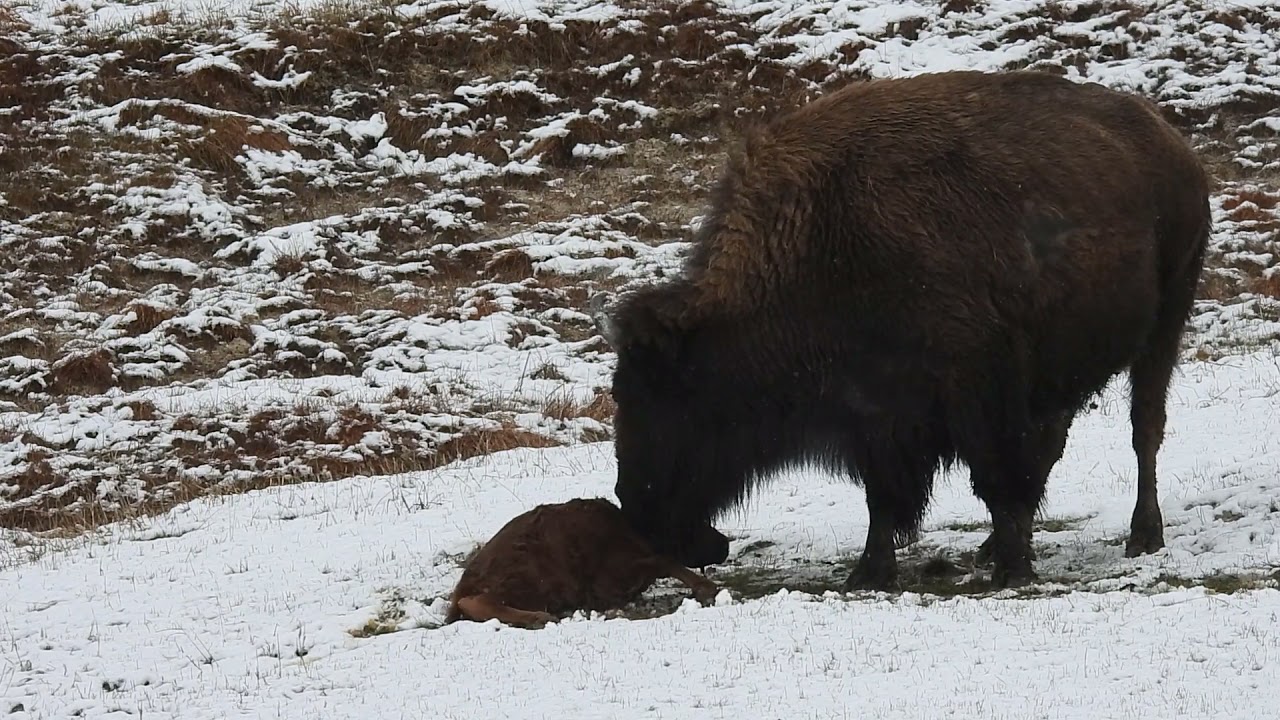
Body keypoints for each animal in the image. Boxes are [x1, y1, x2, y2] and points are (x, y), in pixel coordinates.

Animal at [590, 70, 1211, 589]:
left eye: (662, 398)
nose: (635, 506)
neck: (823, 235)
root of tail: (1175, 148)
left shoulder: (975, 390)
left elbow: (992, 475)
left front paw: (1012, 570)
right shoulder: (878, 414)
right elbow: (884, 496)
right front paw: (870, 572)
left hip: (1166, 323)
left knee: (1144, 427)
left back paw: (1141, 535)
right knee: (1054, 442)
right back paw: (995, 545)